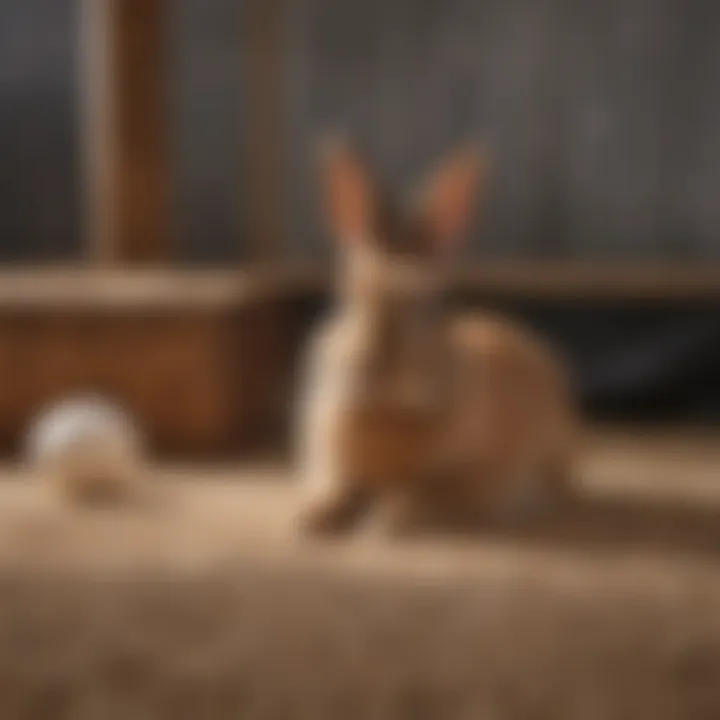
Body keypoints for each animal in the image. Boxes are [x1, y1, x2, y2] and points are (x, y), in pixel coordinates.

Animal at [294, 139, 580, 536]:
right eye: (348, 297)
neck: (387, 412)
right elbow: (336, 487)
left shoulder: (462, 477)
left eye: (430, 303)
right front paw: (310, 517)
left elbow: (420, 493)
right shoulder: (330, 453)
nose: (380, 368)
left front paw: (384, 522)